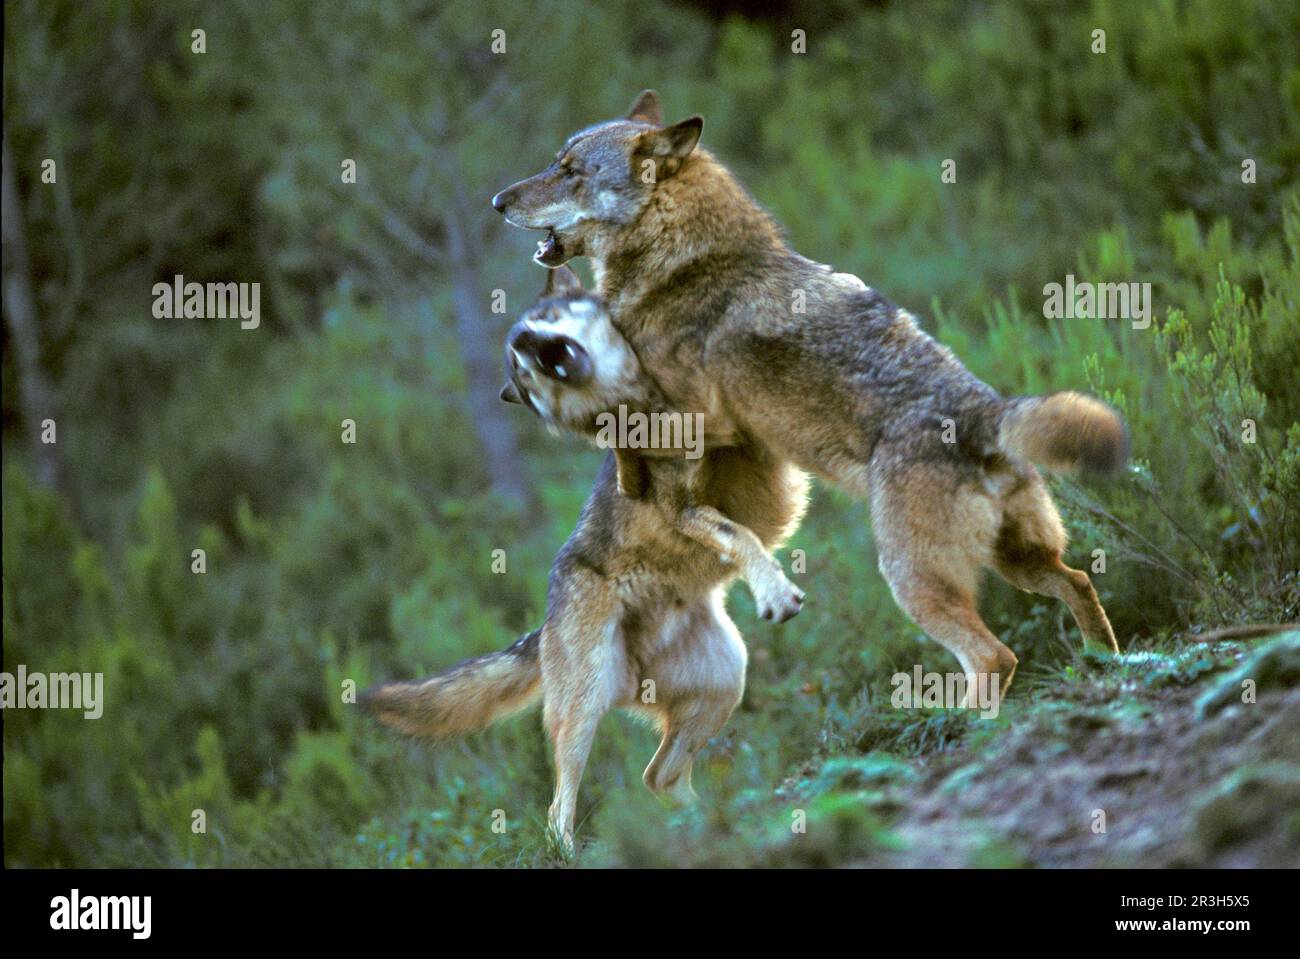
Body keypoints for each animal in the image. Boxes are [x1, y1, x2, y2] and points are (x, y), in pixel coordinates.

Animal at [365, 266, 809, 852]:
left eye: (543, 320)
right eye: (520, 364)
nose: (531, 344)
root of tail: (543, 625)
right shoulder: (685, 510)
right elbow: (738, 535)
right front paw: (776, 591)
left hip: (725, 681)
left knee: (657, 777)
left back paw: (719, 824)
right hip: (584, 710)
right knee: (559, 811)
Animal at [491, 90, 1129, 696]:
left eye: (569, 171)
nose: (498, 201)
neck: (680, 262)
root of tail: (989, 414)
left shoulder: (697, 418)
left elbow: (620, 436)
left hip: (912, 581)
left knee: (994, 657)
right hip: (1019, 561)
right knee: (1078, 583)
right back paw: (1108, 663)